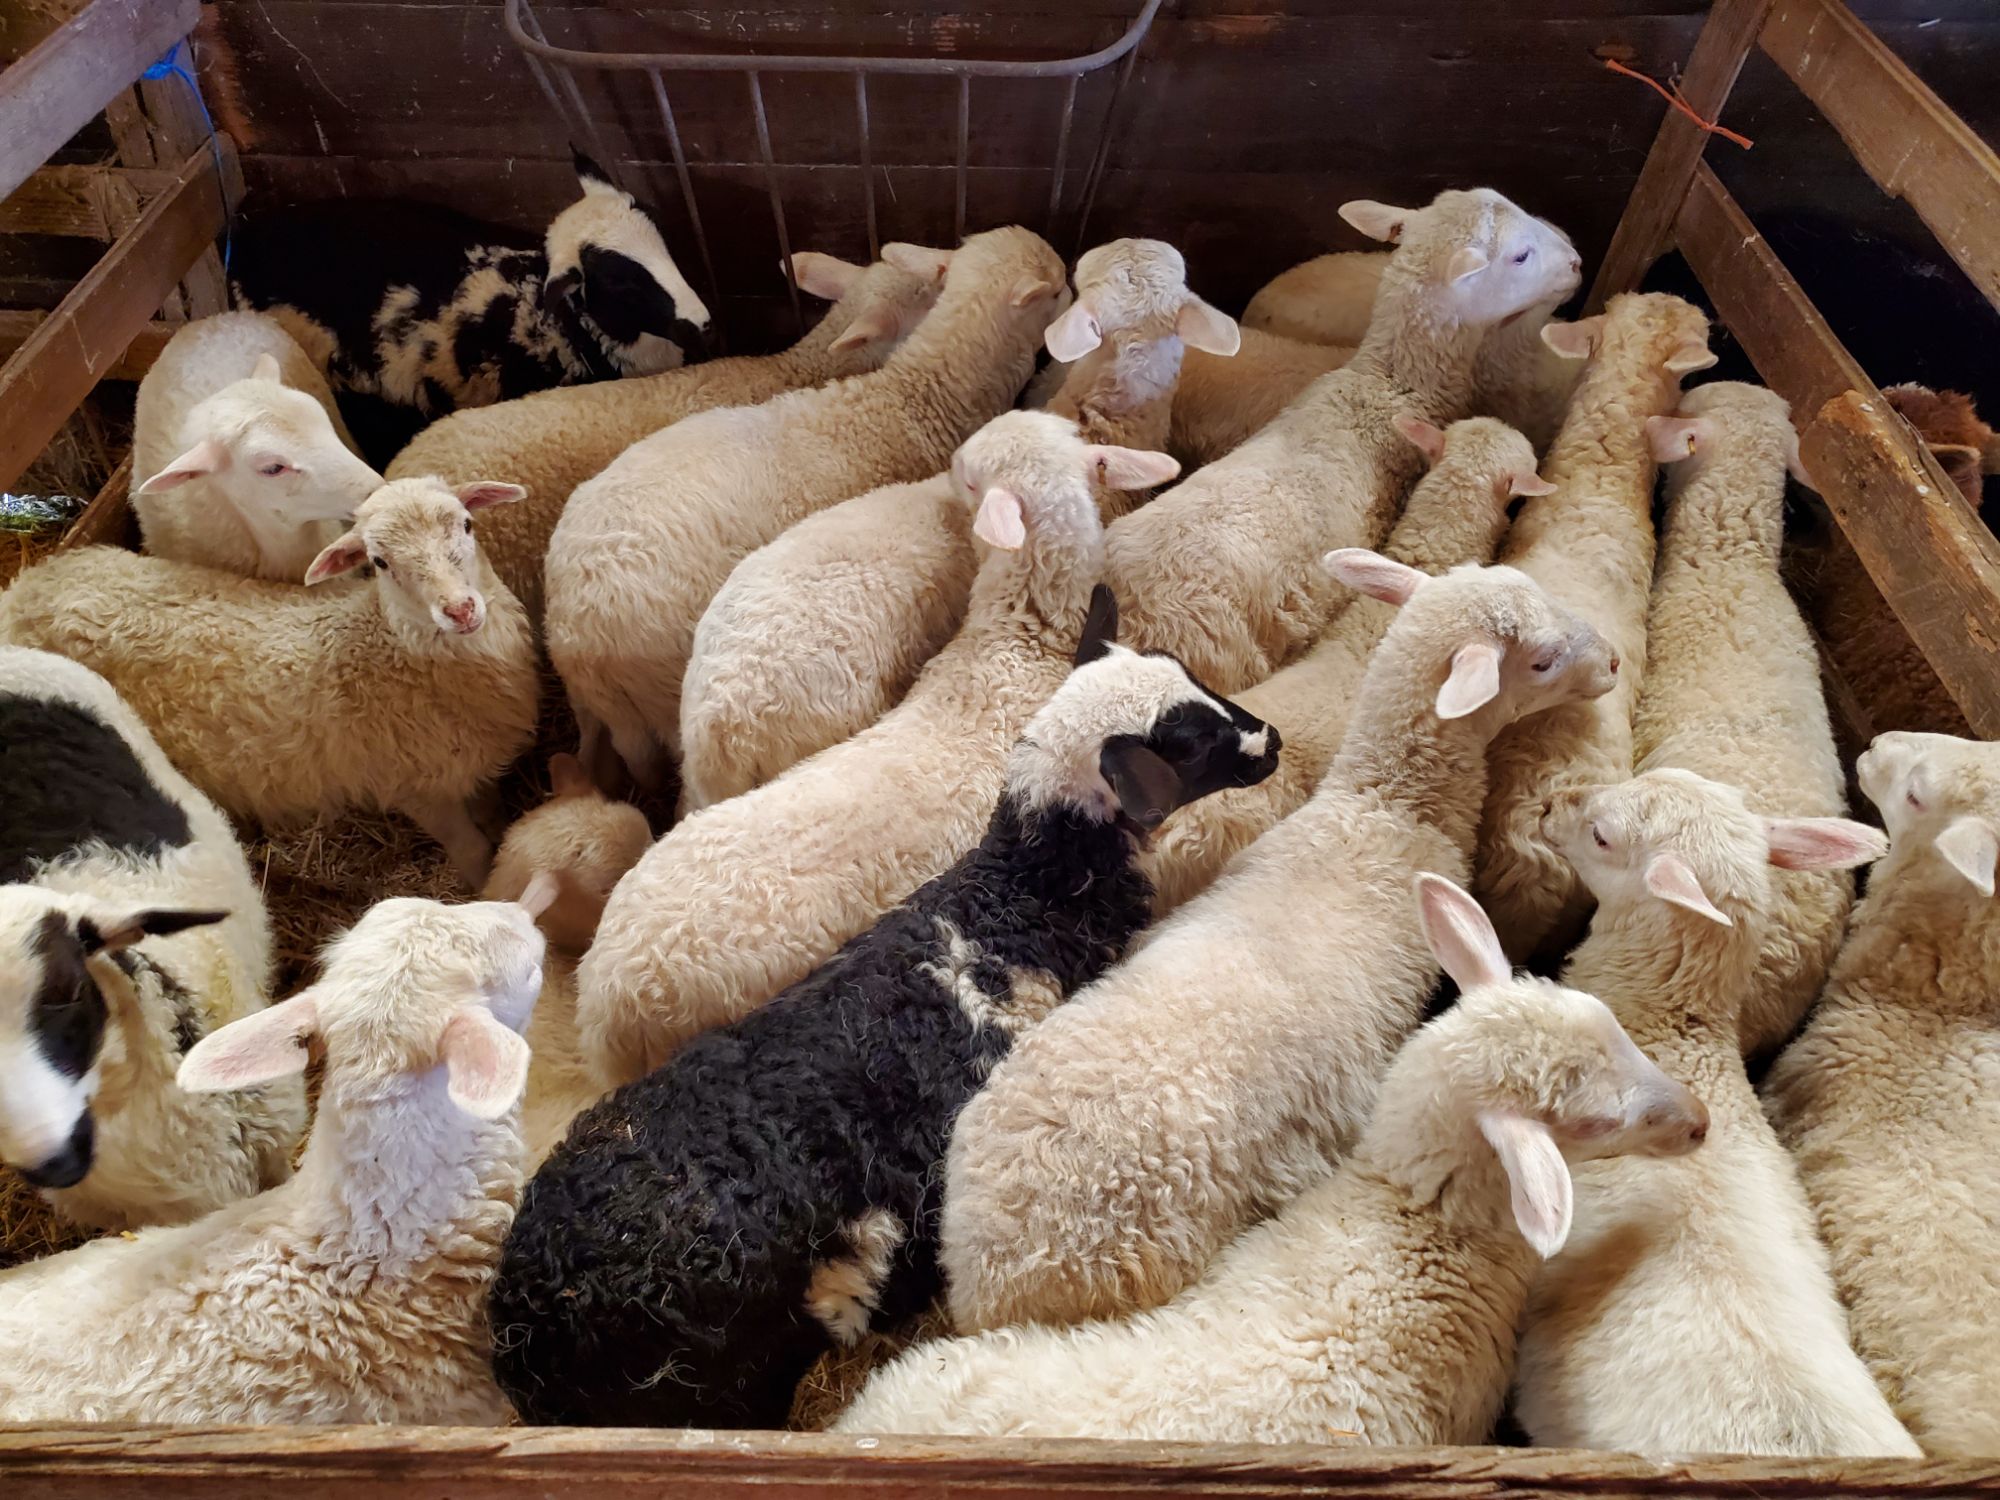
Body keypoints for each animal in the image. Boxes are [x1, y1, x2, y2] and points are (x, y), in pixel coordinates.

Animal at [0, 478, 539, 886]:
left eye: (466, 524)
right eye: (380, 562)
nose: (460, 610)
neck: (387, 648)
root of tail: (29, 584)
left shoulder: (472, 766)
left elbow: (492, 817)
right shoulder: (418, 788)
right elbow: (472, 850)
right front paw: (484, 888)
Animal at [544, 226, 1068, 794]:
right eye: (1058, 289)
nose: (1072, 280)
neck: (906, 399)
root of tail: (574, 641)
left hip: (610, 714)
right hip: (661, 690)